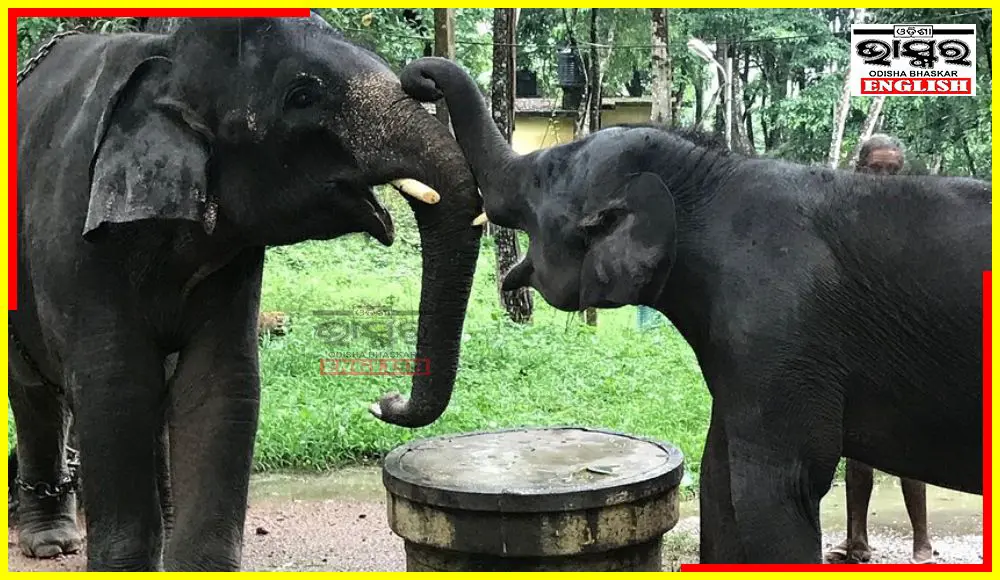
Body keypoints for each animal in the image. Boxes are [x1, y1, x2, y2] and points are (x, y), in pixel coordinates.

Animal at [12, 18, 482, 571]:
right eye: (302, 95)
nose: (384, 400)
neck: (166, 58)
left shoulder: (235, 257)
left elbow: (220, 383)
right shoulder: (78, 239)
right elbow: (115, 387)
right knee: (35, 390)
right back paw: (50, 543)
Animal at [396, 56, 989, 564]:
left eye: (537, 182)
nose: (419, 80)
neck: (708, 173)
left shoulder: (777, 327)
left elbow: (780, 488)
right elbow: (718, 478)